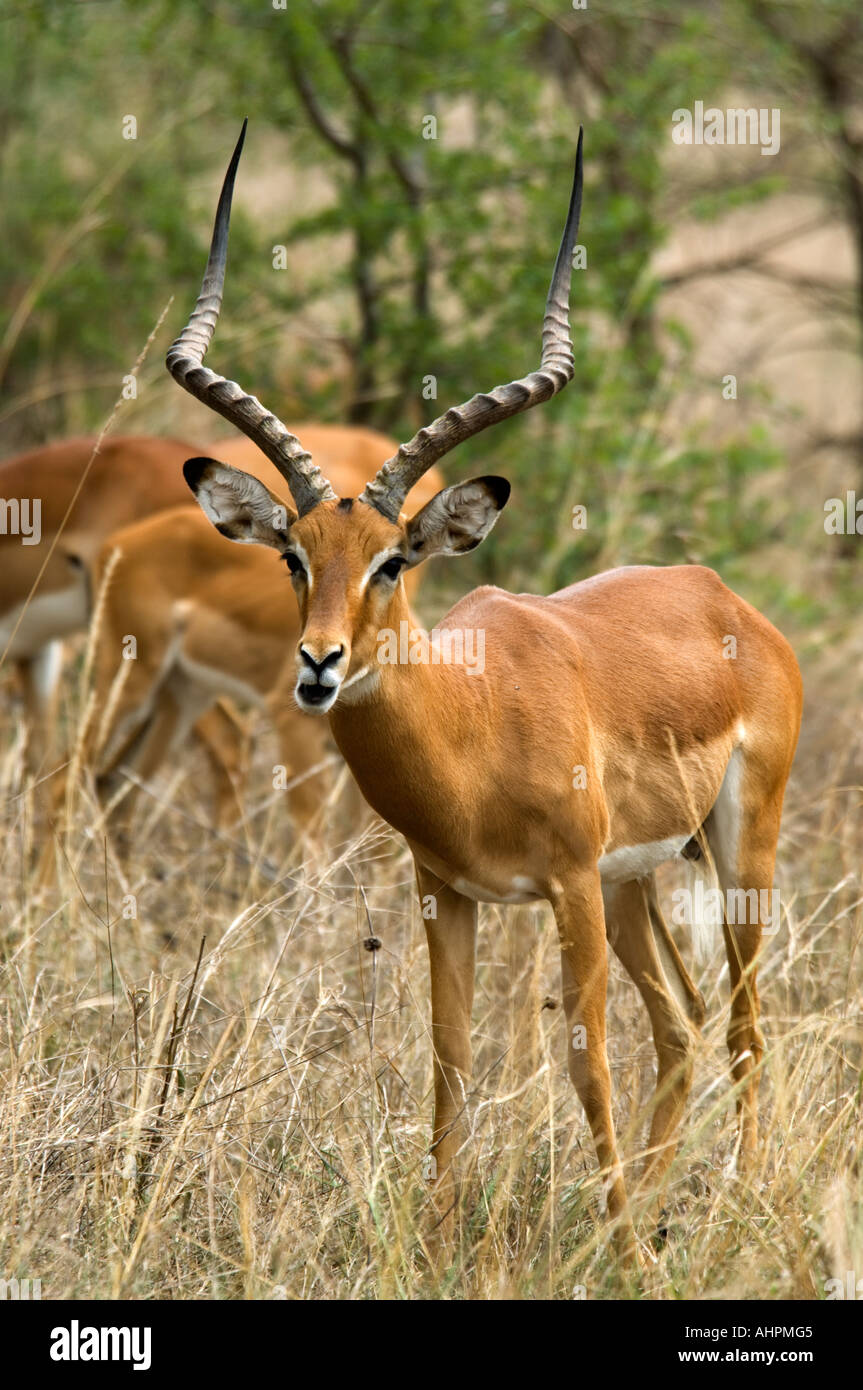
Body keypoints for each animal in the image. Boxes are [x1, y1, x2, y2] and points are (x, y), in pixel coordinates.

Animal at [165, 122, 803, 1256]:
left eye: (393, 561)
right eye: (292, 554)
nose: (319, 664)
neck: (472, 729)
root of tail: (721, 596)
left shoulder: (564, 885)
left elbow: (586, 1063)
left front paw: (622, 1257)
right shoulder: (446, 891)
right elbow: (450, 1064)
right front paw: (436, 1239)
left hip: (733, 854)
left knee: (739, 1024)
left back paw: (711, 1210)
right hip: (636, 881)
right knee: (680, 1025)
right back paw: (637, 1214)